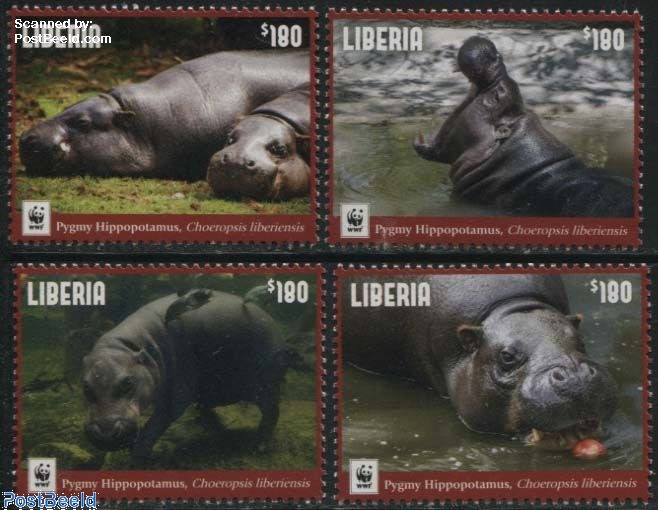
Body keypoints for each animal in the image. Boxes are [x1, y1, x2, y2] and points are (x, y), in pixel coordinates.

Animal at [81, 289, 295, 465]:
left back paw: (259, 446)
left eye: (127, 382)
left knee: (272, 412)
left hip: (265, 385)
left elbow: (154, 426)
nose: (106, 433)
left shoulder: (176, 395)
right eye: (85, 386)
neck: (128, 347)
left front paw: (136, 457)